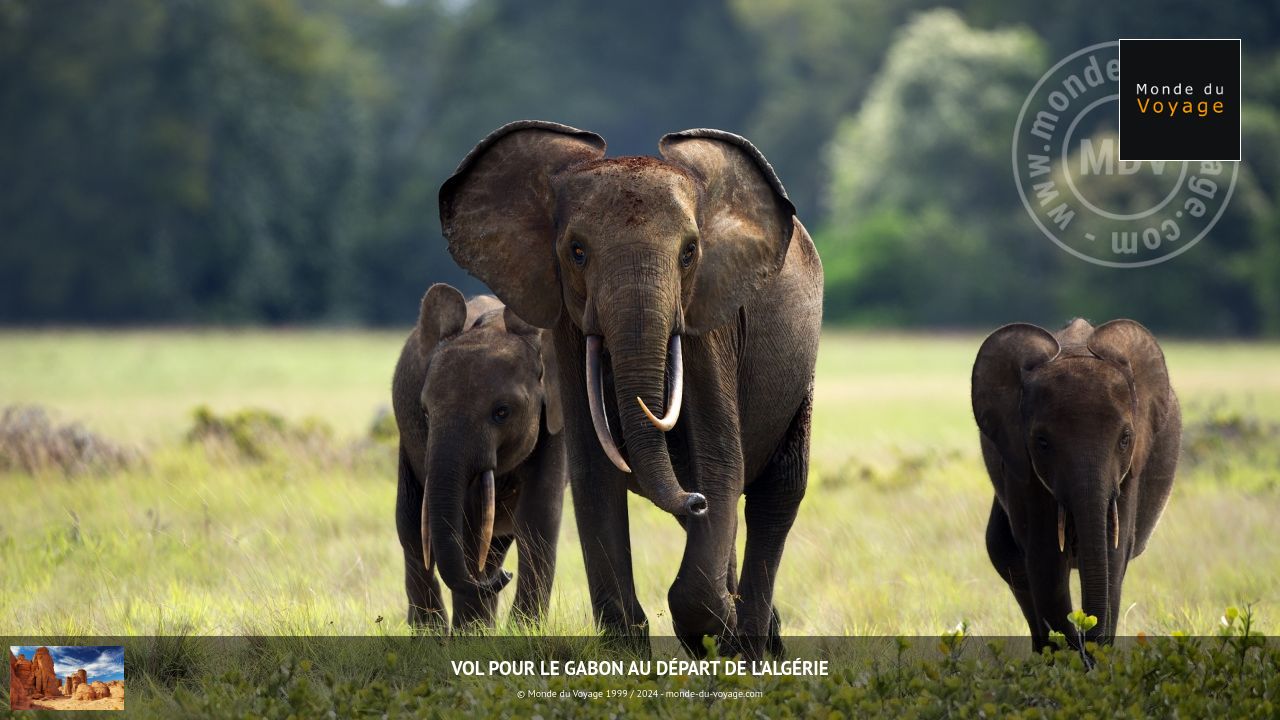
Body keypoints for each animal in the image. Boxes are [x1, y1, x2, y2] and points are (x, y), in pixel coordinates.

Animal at [391, 280, 568, 627]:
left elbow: (538, 513)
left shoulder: (558, 419)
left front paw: (524, 628)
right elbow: (467, 520)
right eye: (426, 413)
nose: (504, 577)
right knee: (410, 521)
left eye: (502, 412)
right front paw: (472, 632)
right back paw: (431, 629)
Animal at [437, 119, 819, 655]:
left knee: (777, 493)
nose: (695, 500)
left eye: (689, 253)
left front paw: (715, 630)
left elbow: (719, 458)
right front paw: (632, 651)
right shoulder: (566, 324)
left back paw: (750, 646)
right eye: (577, 252)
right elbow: (594, 469)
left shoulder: (709, 320)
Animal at [972, 317, 1182, 645]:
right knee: (1008, 559)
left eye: (1125, 439)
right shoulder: (1023, 468)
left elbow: (1112, 555)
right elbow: (1045, 559)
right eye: (1042, 443)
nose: (1086, 636)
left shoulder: (1130, 473)